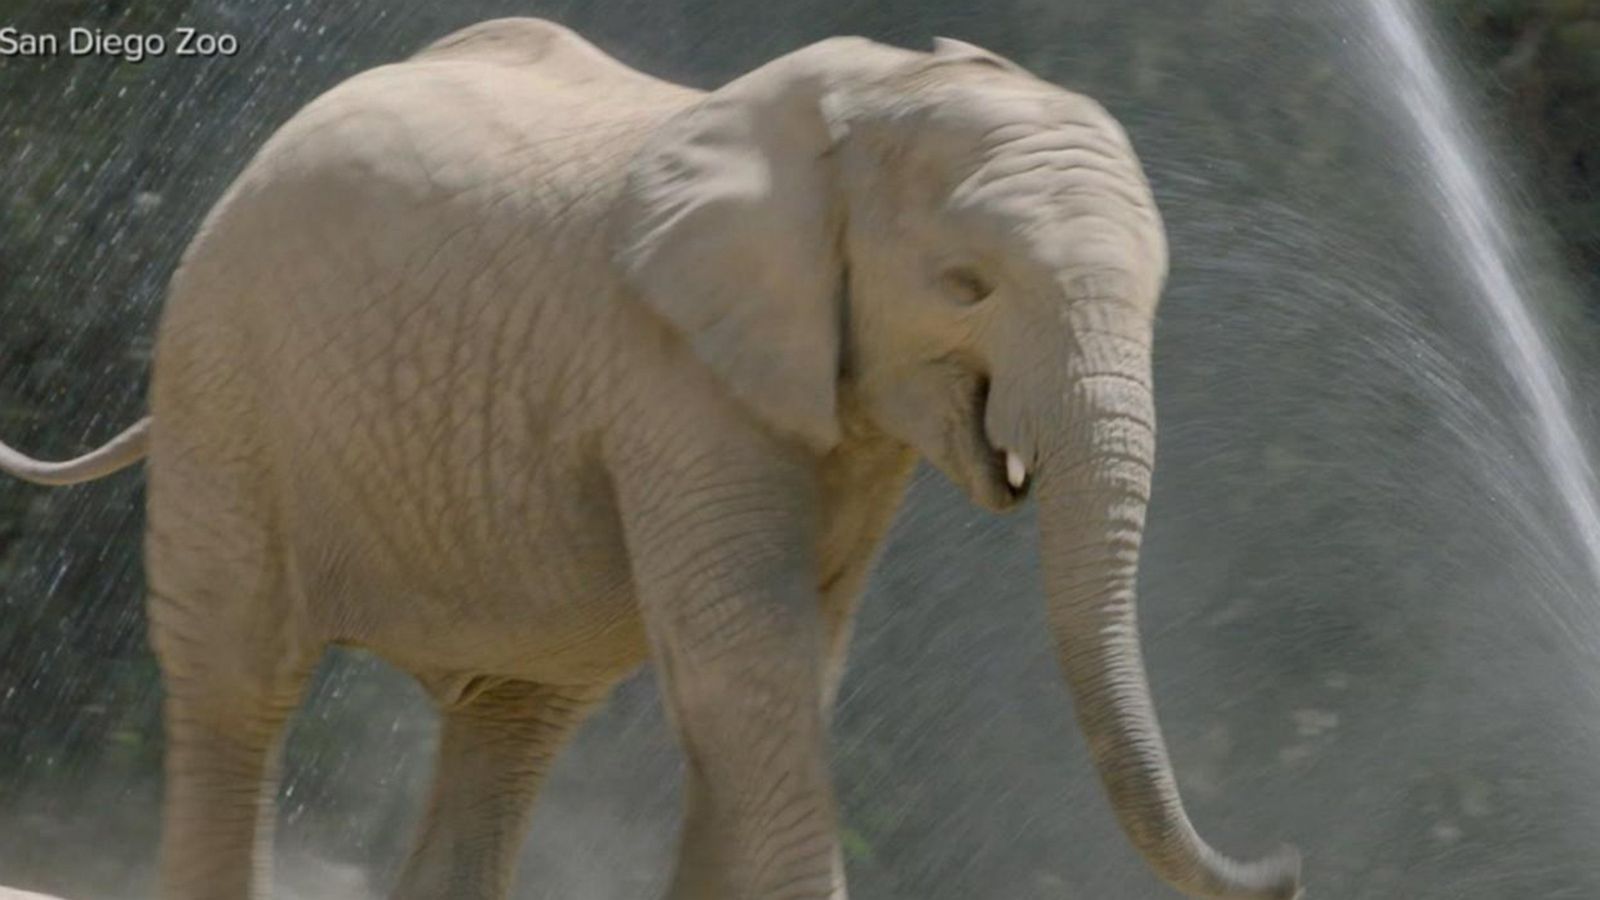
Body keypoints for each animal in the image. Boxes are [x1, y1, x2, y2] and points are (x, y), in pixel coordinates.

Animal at [0, 17, 1302, 900]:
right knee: (239, 677)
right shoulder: (673, 374)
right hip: (224, 371)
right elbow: (741, 661)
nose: (1289, 862)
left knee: (513, 721)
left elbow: (789, 673)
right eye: (965, 285)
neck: (871, 104)